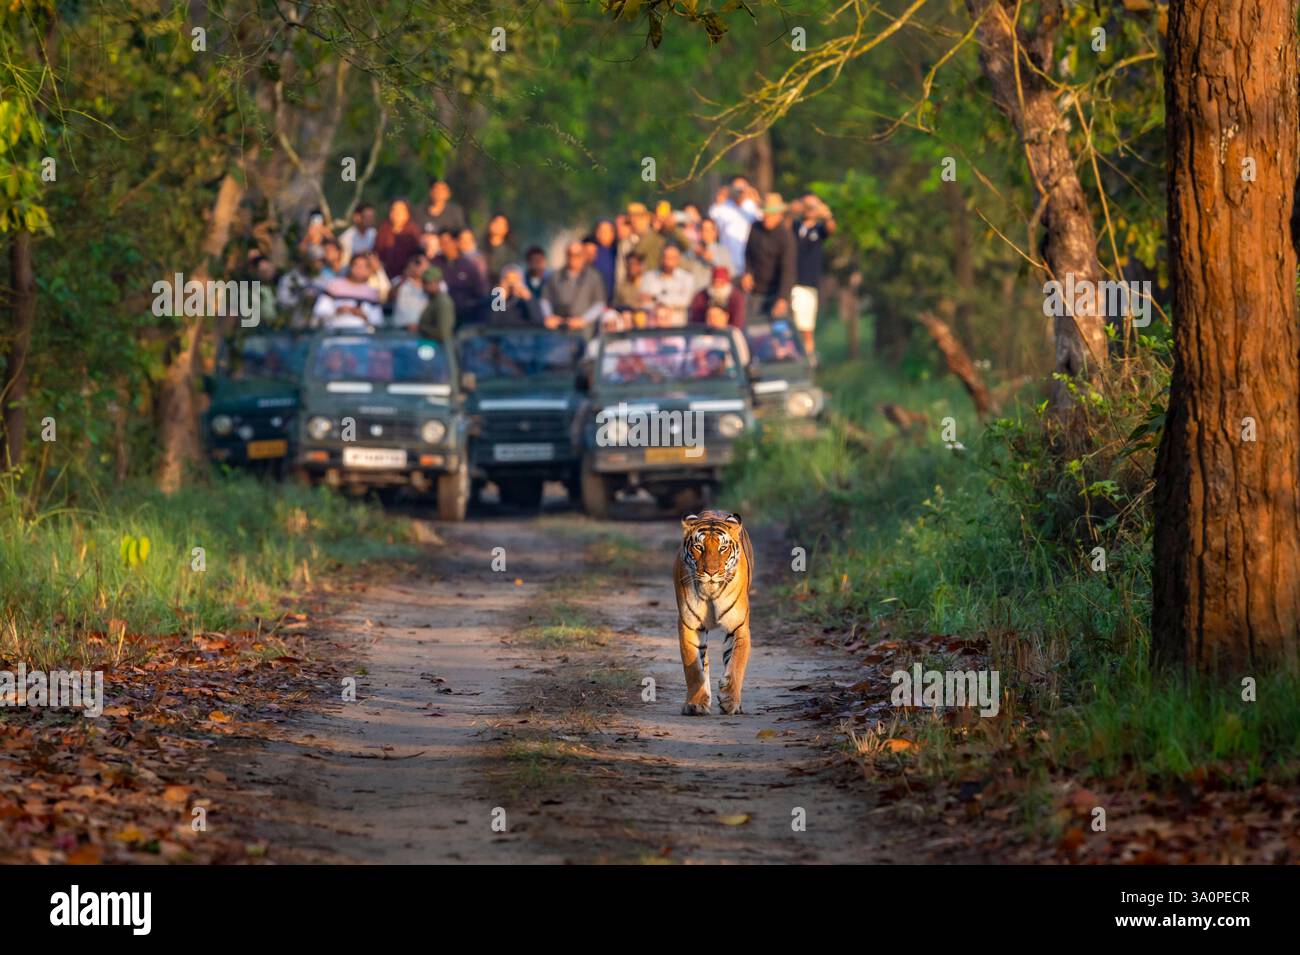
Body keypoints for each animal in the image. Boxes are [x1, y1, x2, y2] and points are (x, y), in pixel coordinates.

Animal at [674, 509, 754, 716]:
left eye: (722, 548)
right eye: (699, 547)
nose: (711, 572)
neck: (710, 591)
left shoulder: (738, 625)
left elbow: (737, 663)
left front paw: (730, 700)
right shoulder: (689, 625)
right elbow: (694, 668)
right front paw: (695, 704)